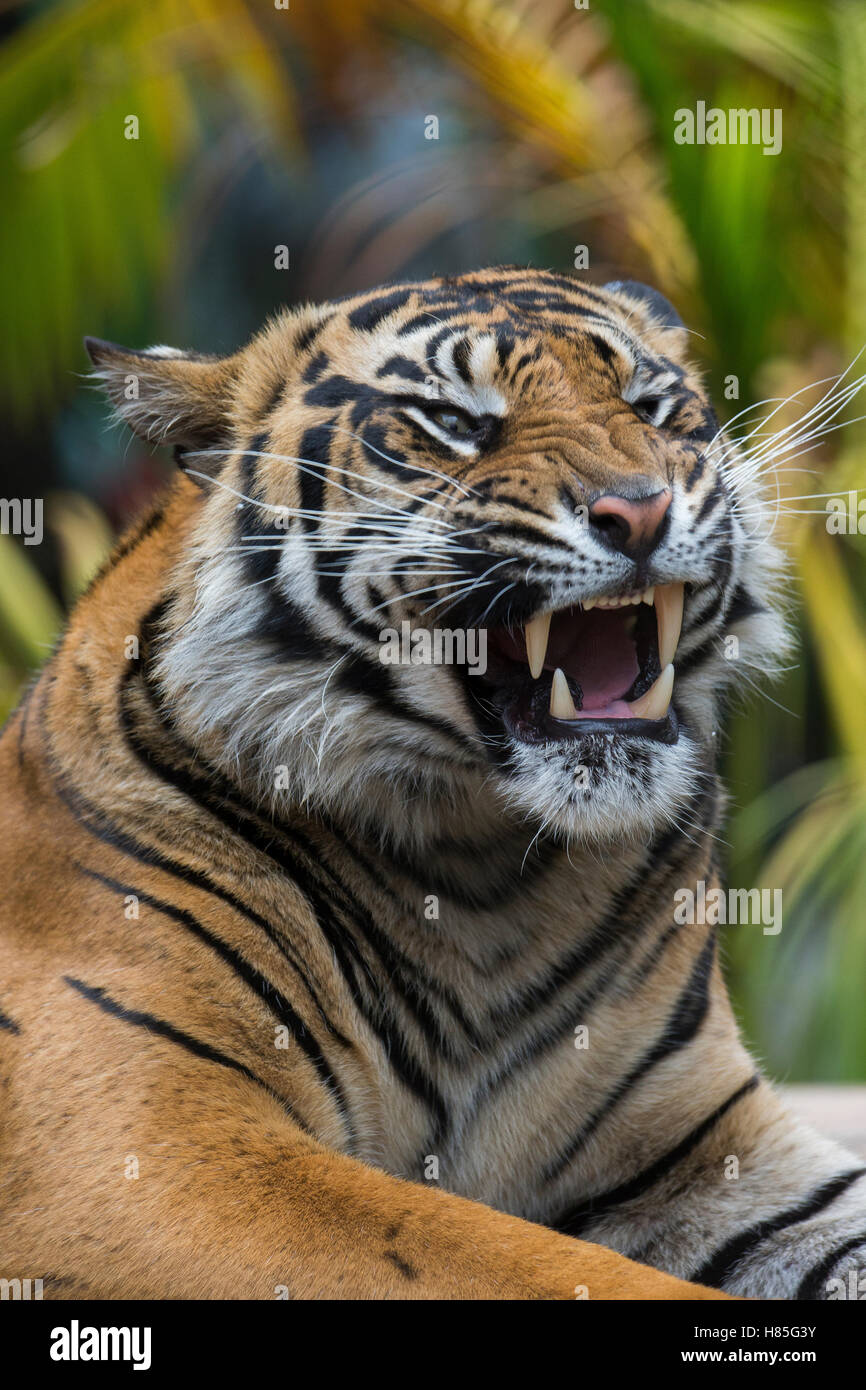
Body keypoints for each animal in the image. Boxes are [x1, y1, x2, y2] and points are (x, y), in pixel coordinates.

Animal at [0, 265, 864, 1302]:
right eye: (454, 421)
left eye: (653, 407)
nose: (642, 510)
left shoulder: (713, 1144)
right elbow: (536, 1267)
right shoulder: (149, 1147)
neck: (484, 872)